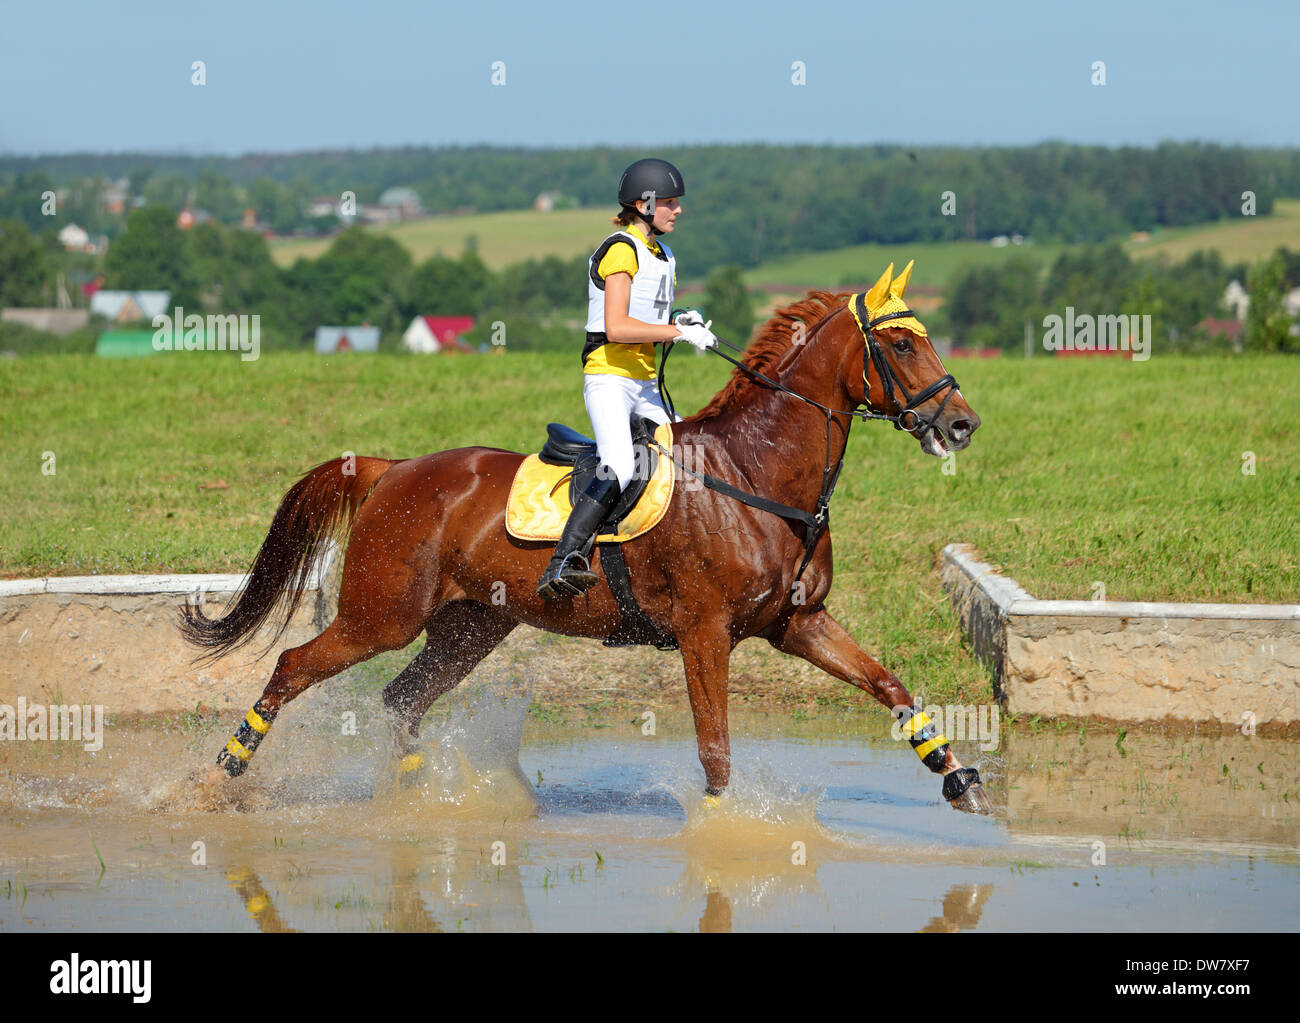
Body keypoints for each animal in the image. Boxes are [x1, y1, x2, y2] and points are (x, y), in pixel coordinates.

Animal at [181, 261, 991, 814]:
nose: (962, 425)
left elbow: (888, 683)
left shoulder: (798, 622)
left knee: (402, 699)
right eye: (900, 345)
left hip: (472, 625)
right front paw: (724, 830)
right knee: (294, 666)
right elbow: (716, 750)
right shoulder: (705, 633)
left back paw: (421, 796)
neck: (756, 474)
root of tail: (394, 469)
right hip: (380, 615)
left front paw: (956, 775)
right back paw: (222, 773)